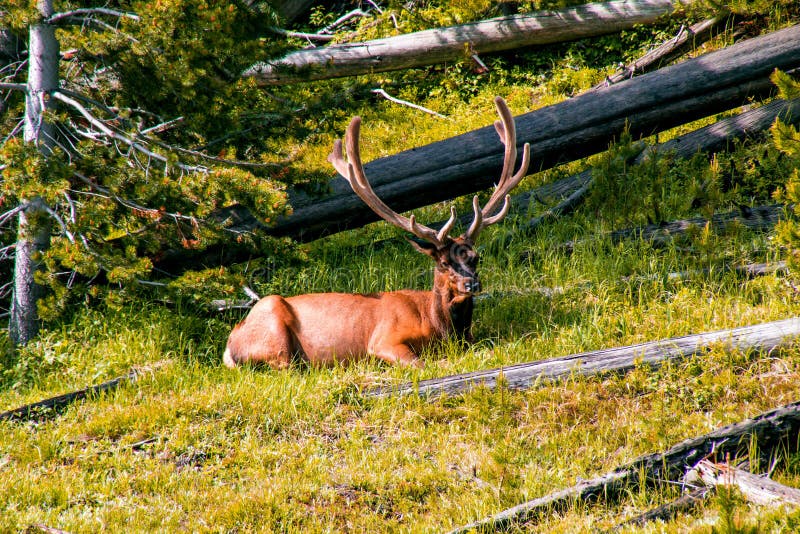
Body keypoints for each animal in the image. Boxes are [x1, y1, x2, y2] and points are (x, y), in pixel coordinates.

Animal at [223, 96, 530, 369]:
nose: (471, 284)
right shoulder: (383, 339)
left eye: (475, 257)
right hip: (273, 326)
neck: (439, 327)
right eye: (443, 262)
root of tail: (229, 344)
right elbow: (424, 364)